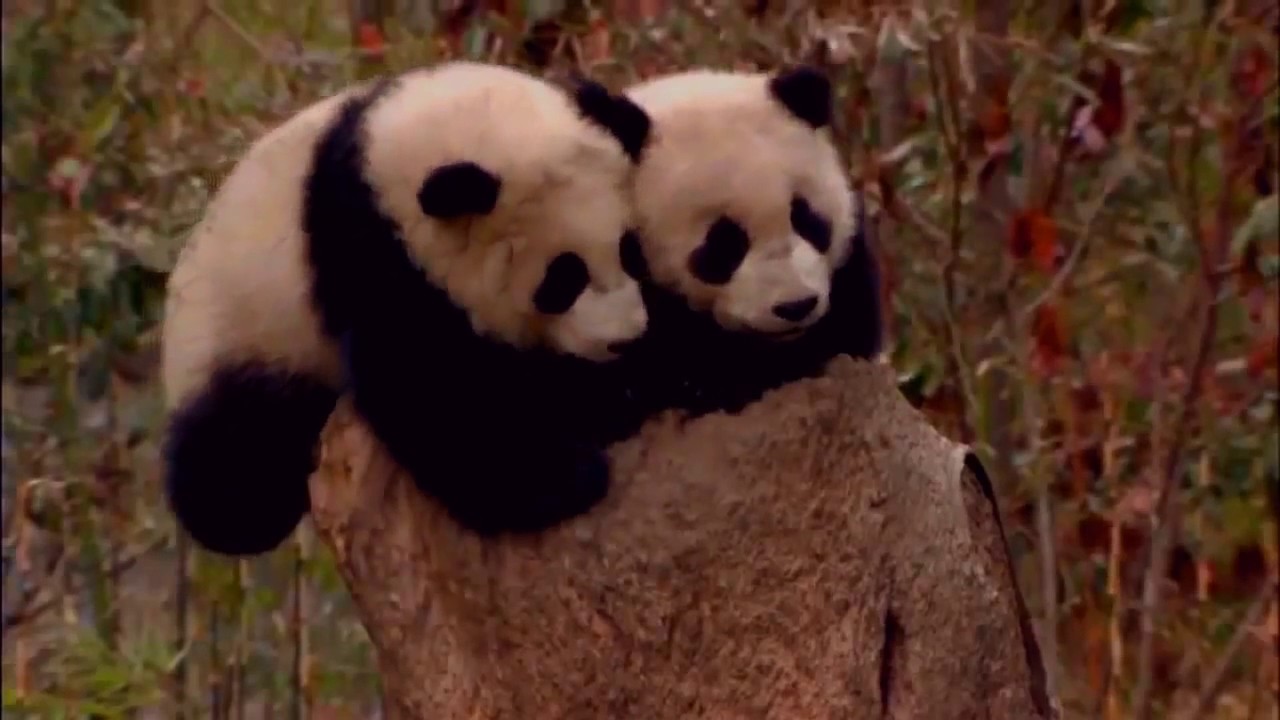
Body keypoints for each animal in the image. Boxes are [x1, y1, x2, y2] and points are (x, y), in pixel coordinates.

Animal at [161, 61, 653, 557]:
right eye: (563, 280)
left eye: (629, 251)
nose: (625, 338)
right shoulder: (368, 254)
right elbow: (430, 387)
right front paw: (563, 479)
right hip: (240, 338)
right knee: (230, 467)